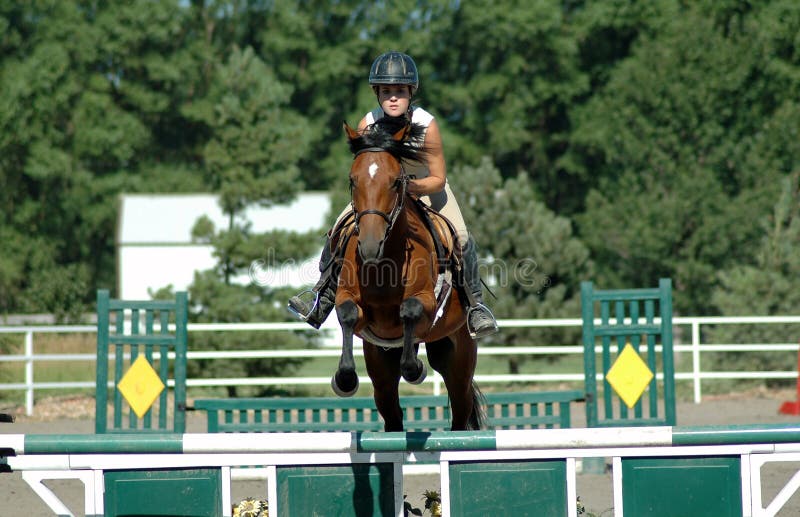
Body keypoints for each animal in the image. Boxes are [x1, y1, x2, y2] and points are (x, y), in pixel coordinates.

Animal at [330, 119, 485, 431]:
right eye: (353, 181)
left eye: (395, 182)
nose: (369, 246)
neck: (385, 263)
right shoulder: (354, 305)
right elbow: (348, 315)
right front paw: (345, 379)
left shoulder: (426, 303)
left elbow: (410, 309)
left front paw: (414, 369)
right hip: (381, 366)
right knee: (392, 414)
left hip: (459, 358)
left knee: (460, 410)